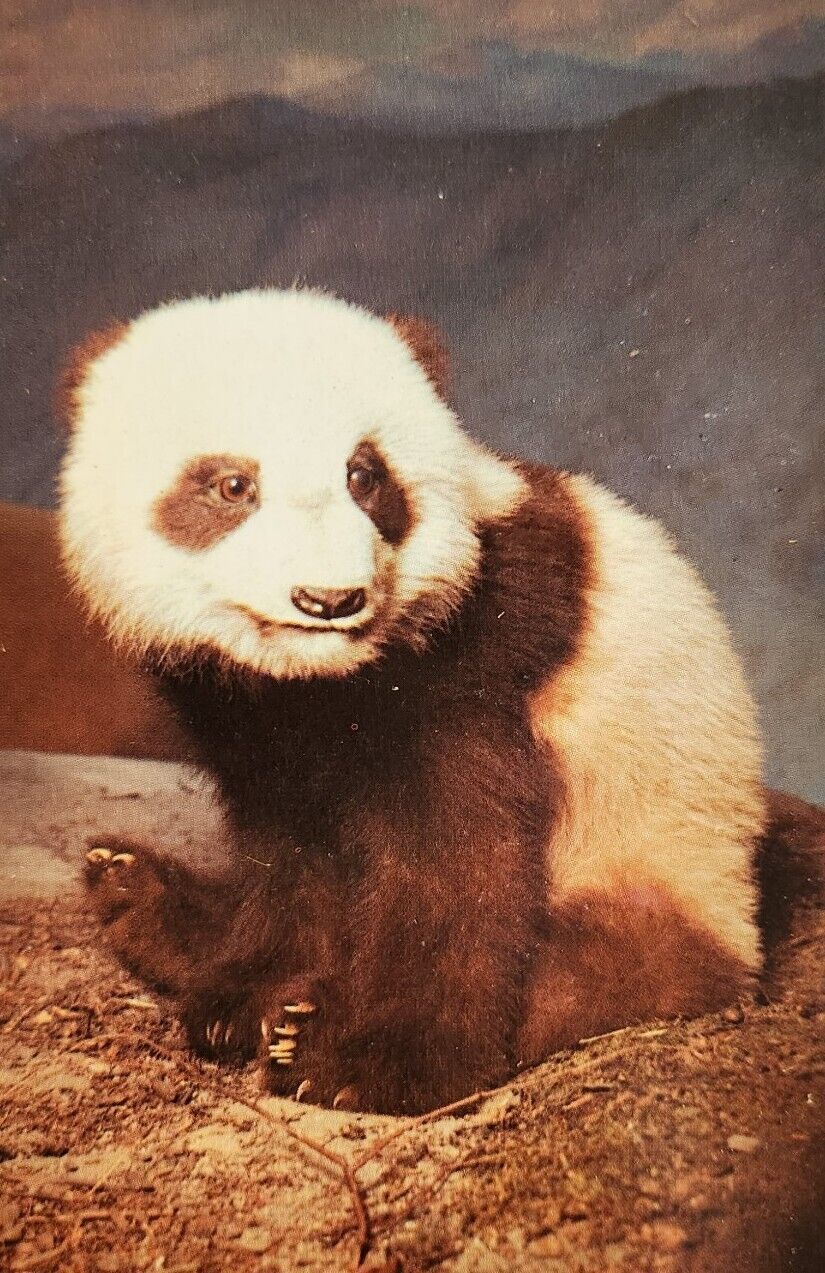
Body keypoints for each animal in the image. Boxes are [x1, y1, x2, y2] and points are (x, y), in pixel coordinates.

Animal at [58, 288, 765, 1115]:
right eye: (232, 484)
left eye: (364, 475)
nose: (328, 599)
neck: (323, 678)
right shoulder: (242, 710)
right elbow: (291, 845)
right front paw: (245, 997)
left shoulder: (485, 651)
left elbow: (454, 853)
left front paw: (361, 1060)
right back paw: (137, 891)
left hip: (652, 858)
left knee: (586, 970)